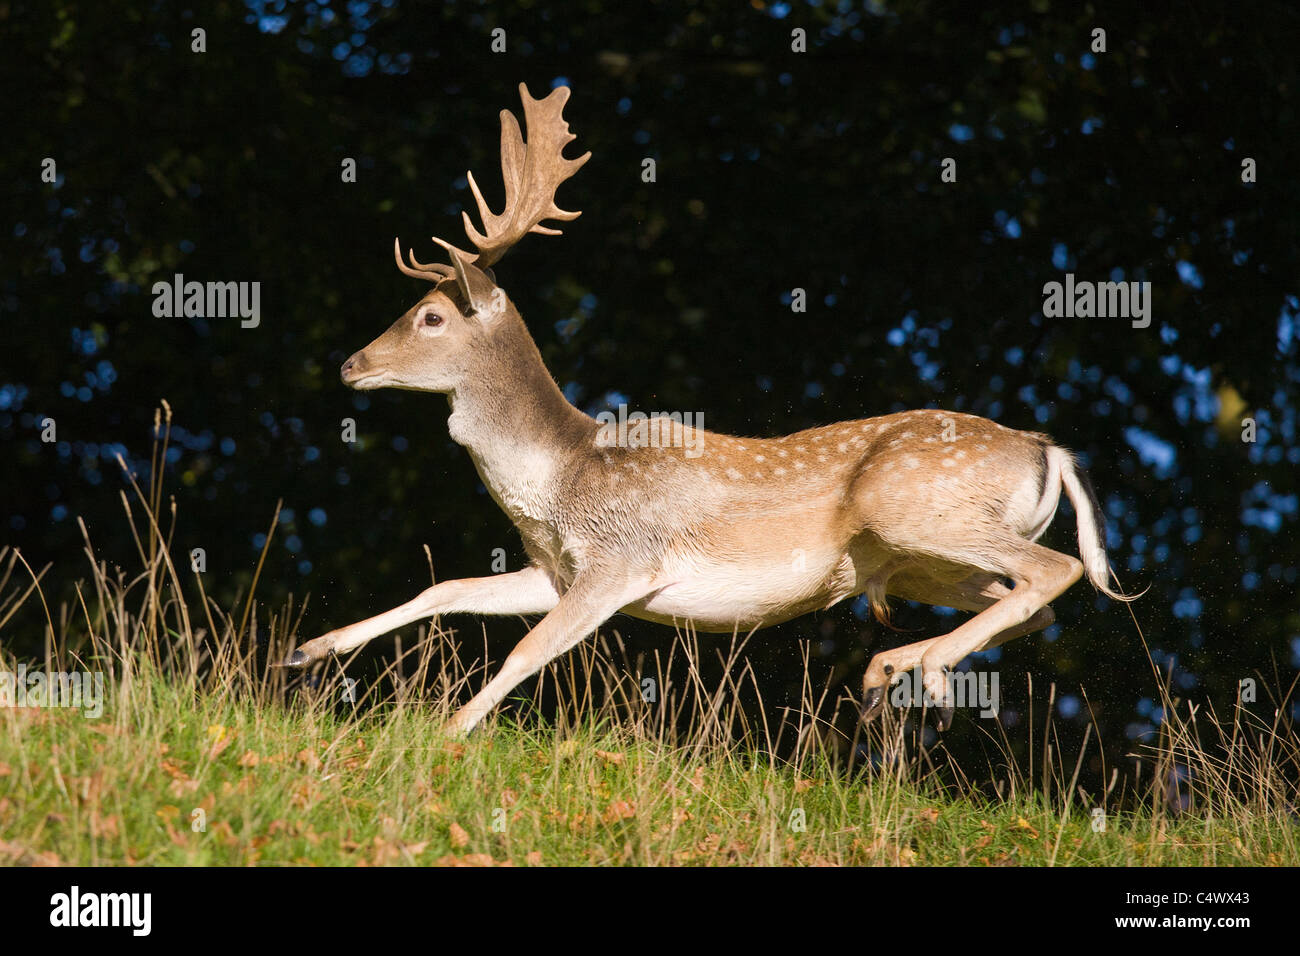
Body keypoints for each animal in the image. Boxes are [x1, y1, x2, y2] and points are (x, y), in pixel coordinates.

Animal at [281, 82, 1134, 736]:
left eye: (430, 315)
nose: (351, 363)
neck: (560, 479)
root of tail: (1047, 449)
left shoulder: (622, 559)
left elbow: (528, 651)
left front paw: (448, 730)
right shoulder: (557, 569)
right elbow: (447, 589)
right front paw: (310, 650)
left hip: (918, 508)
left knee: (1057, 571)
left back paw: (915, 667)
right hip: (925, 561)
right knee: (1030, 606)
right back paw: (890, 669)